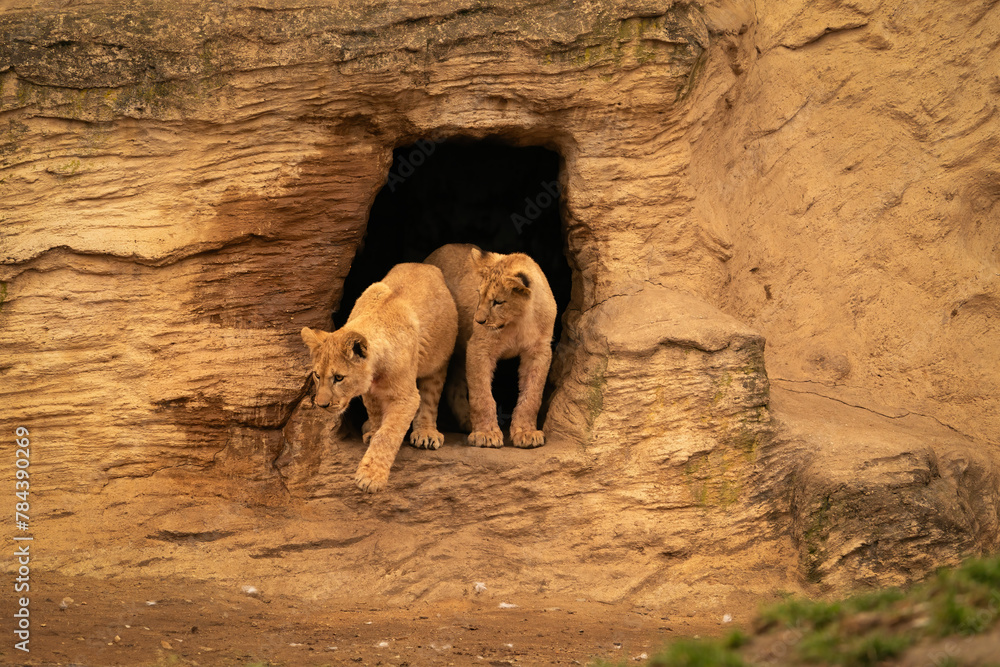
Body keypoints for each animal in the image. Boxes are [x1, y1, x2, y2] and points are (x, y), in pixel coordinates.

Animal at [300, 263, 458, 493]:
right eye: (317, 375)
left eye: (338, 377)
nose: (321, 405)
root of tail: (423, 264)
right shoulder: (369, 392)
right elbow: (375, 414)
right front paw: (373, 431)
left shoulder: (406, 397)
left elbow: (387, 435)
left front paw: (370, 477)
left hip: (438, 359)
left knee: (430, 397)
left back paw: (426, 433)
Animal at [424, 243, 556, 448]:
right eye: (480, 295)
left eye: (498, 302)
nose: (478, 321)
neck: (519, 321)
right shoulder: (479, 347)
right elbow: (482, 395)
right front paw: (485, 434)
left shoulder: (539, 351)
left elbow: (532, 395)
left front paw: (526, 432)